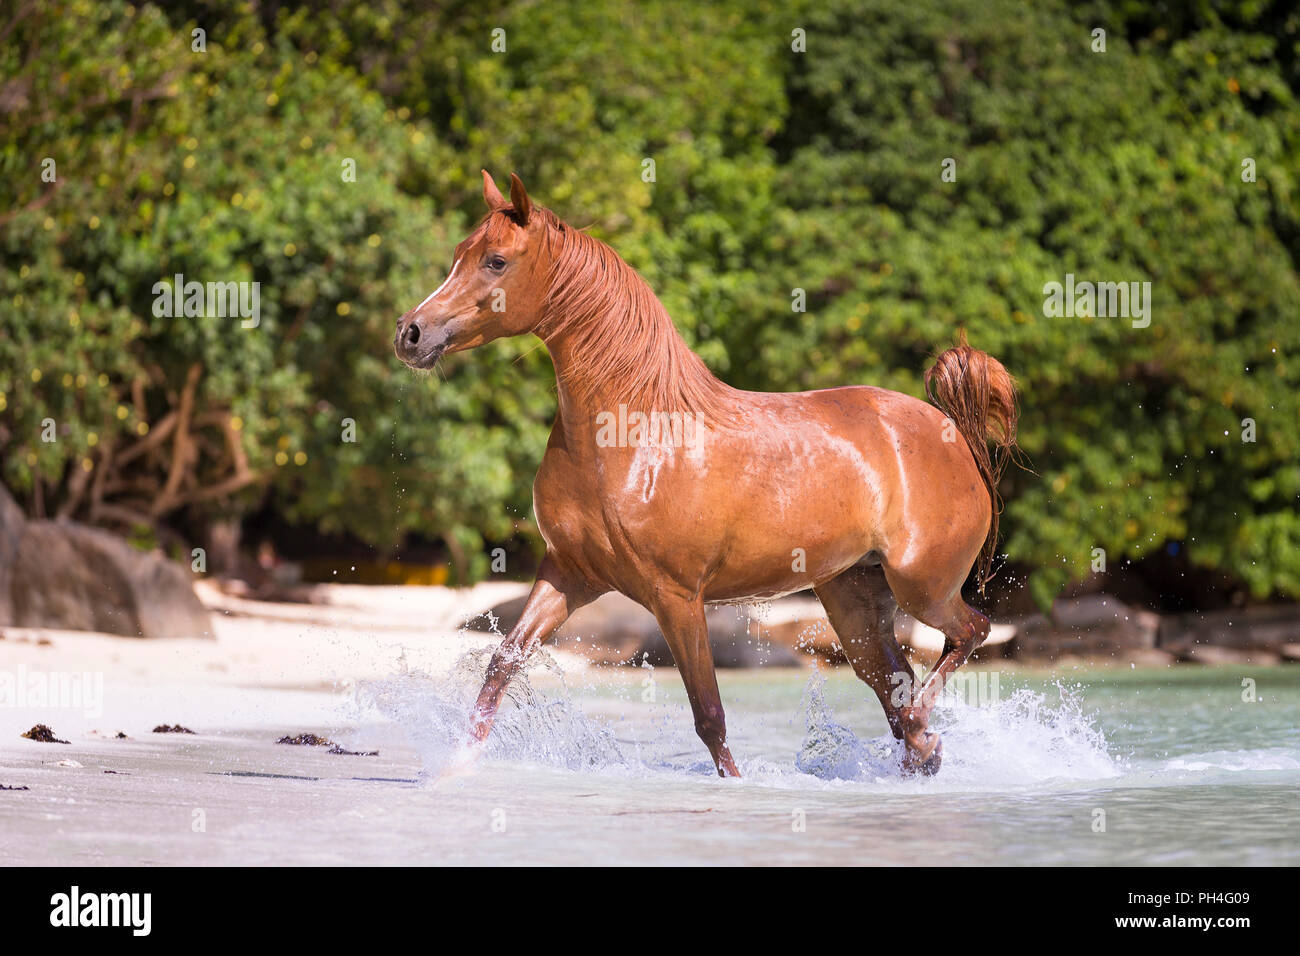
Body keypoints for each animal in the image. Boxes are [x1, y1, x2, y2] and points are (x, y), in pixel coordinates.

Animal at [395, 170, 1019, 777]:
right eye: (460, 252)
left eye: (496, 261)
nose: (410, 333)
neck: (632, 435)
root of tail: (951, 432)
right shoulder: (569, 574)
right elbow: (501, 667)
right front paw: (456, 768)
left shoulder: (677, 598)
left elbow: (710, 717)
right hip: (854, 600)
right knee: (894, 686)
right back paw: (921, 748)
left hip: (923, 586)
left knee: (970, 635)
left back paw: (923, 733)